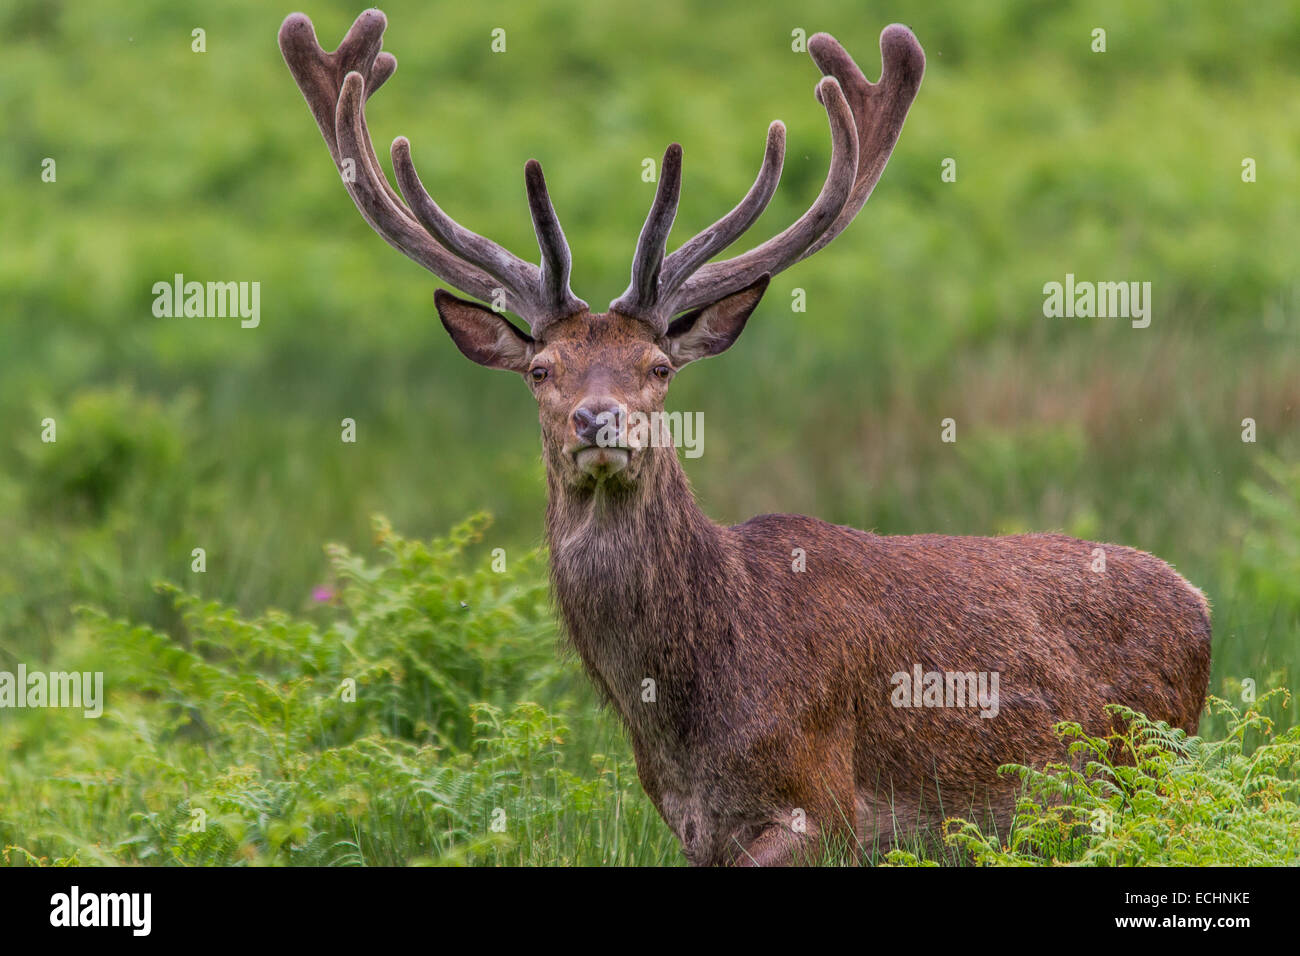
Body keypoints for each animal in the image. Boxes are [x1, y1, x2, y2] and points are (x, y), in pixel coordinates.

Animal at [279, 9, 1212, 866]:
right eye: (541, 369)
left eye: (658, 365)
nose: (598, 417)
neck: (692, 711)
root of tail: (1200, 601)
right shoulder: (690, 826)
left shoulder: (826, 804)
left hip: (1144, 772)